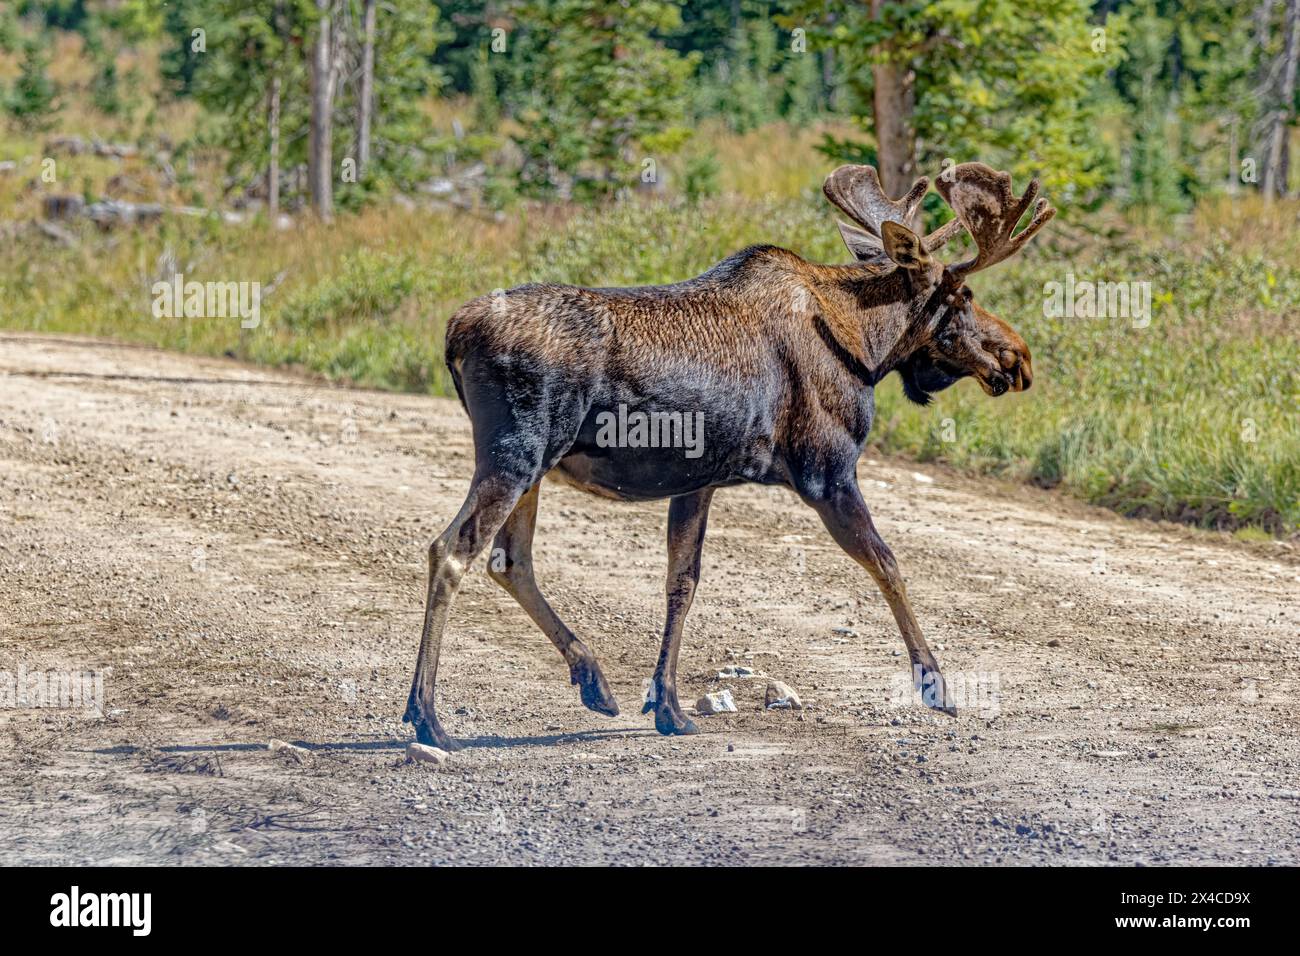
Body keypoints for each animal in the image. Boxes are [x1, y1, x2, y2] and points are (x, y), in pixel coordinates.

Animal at [404, 162, 1054, 749]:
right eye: (962, 295)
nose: (1018, 357)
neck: (868, 346)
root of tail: (453, 333)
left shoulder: (700, 479)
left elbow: (682, 581)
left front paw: (667, 706)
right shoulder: (827, 473)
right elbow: (888, 564)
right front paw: (936, 687)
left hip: (534, 464)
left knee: (510, 560)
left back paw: (593, 682)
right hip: (516, 454)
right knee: (452, 550)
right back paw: (428, 717)